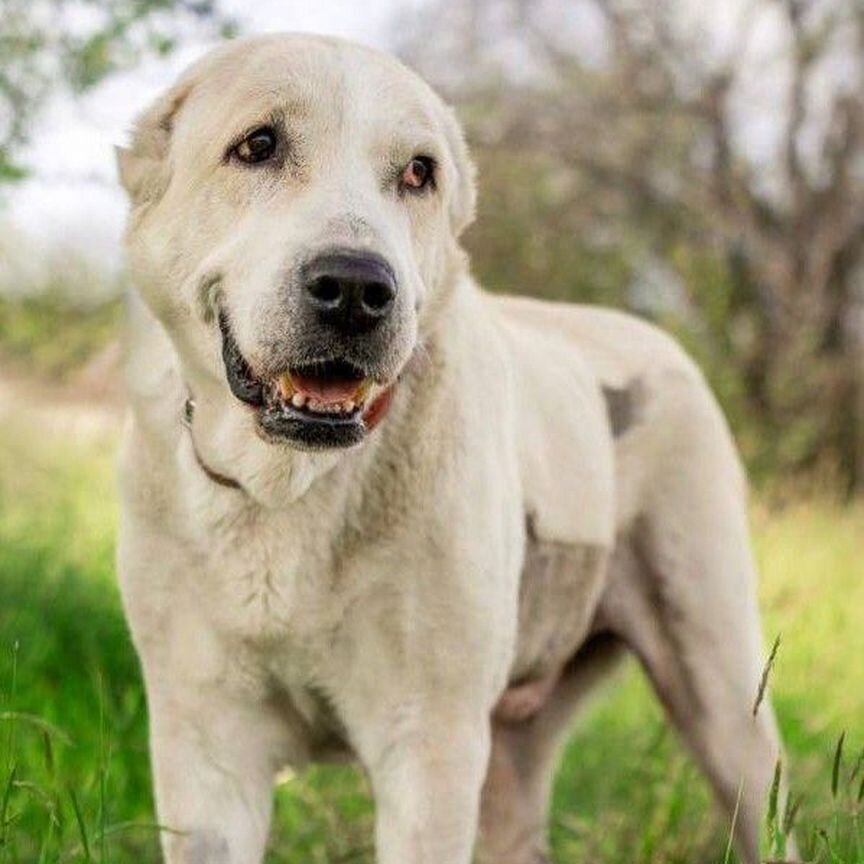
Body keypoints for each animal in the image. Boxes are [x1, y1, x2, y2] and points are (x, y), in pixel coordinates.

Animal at [116, 33, 788, 864]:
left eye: (418, 173)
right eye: (259, 146)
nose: (355, 288)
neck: (290, 489)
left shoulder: (430, 745)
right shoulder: (205, 746)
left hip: (723, 694)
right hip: (516, 754)